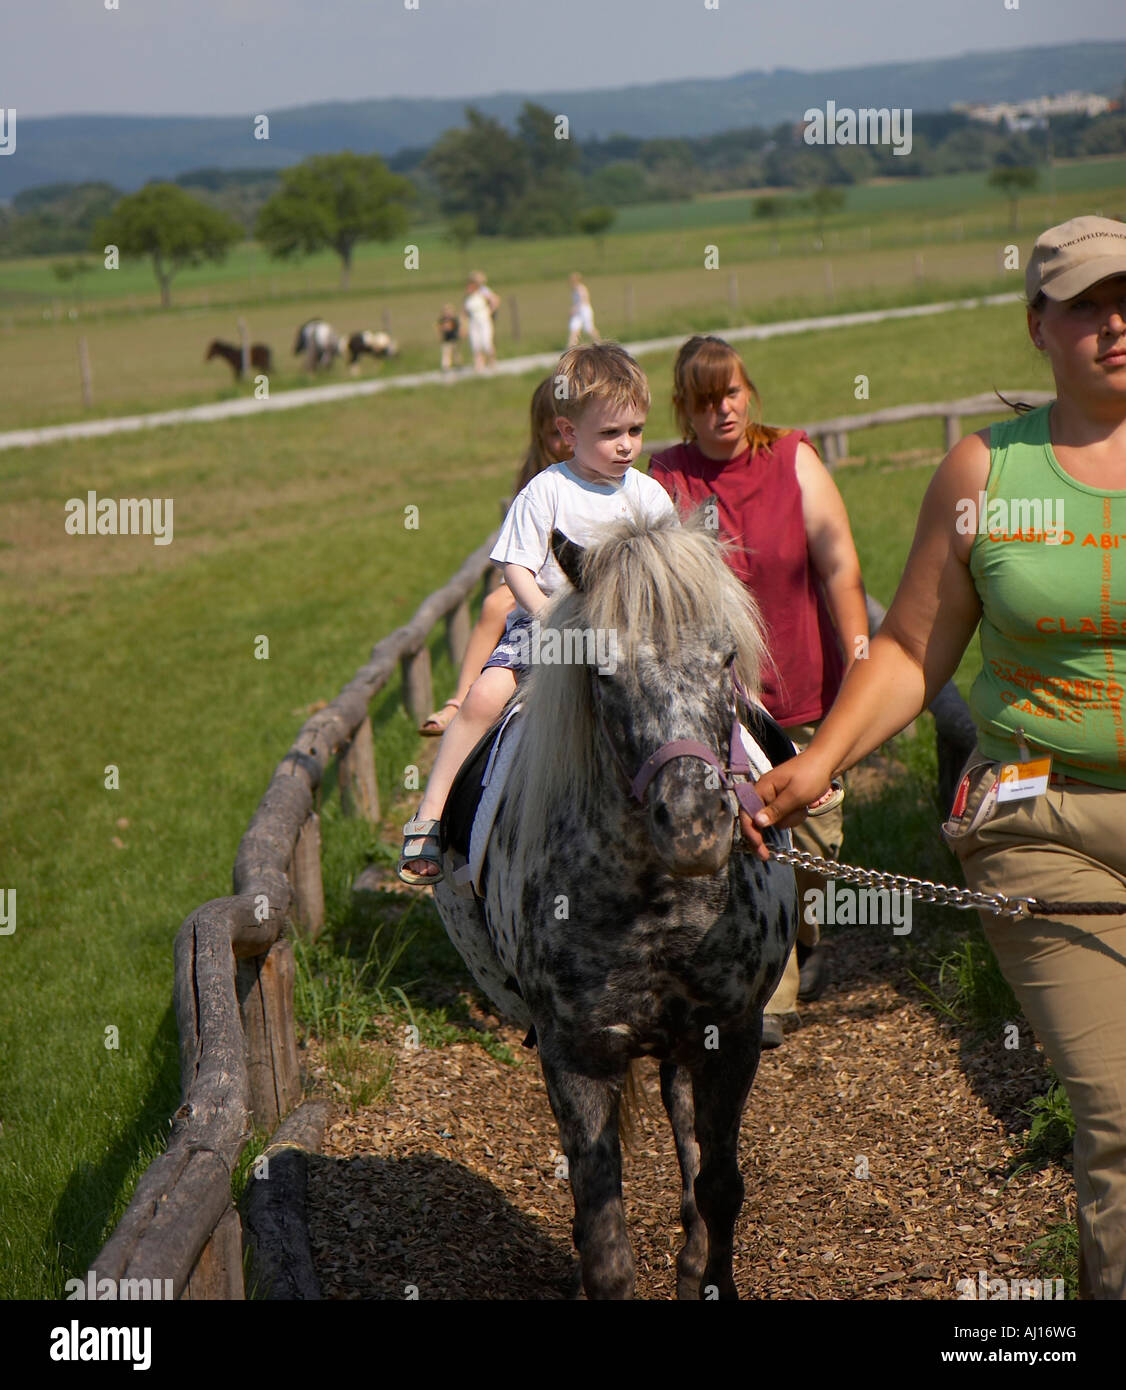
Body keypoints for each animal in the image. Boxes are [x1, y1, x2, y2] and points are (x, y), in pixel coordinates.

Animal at [432, 510, 797, 1300]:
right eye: (602, 672)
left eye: (726, 657)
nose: (694, 826)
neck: (657, 899)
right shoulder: (576, 1056)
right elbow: (602, 1239)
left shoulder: (732, 1035)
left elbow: (721, 1185)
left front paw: (710, 1275)